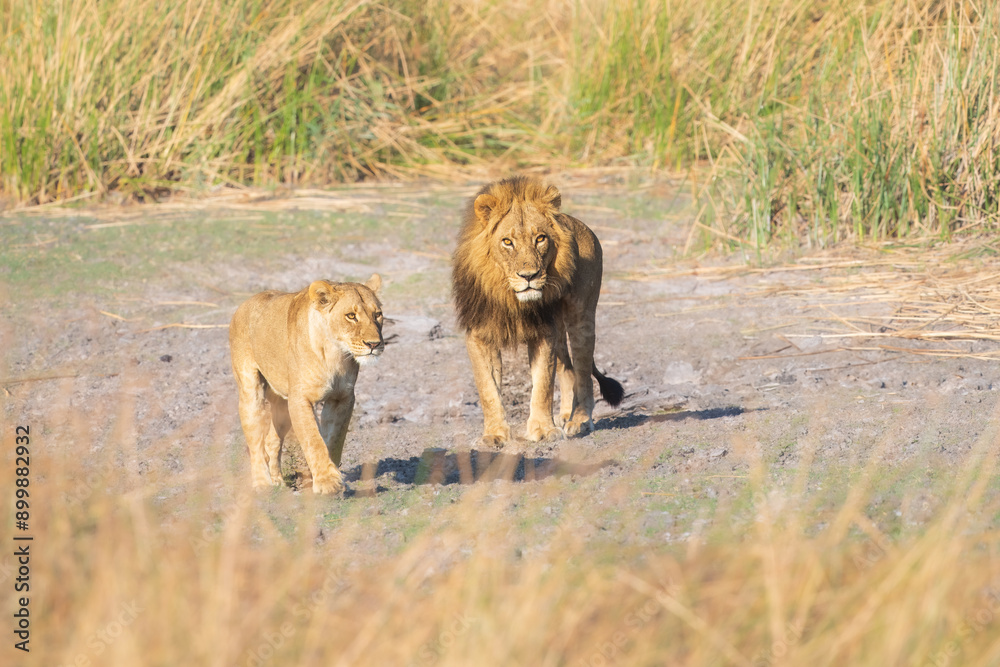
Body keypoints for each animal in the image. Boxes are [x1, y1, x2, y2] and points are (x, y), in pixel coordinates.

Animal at [229, 275, 384, 494]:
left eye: (377, 314)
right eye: (351, 316)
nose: (374, 344)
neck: (335, 353)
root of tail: (245, 303)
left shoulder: (343, 398)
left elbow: (334, 439)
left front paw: (326, 478)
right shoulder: (300, 399)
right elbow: (313, 439)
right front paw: (327, 482)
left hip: (282, 406)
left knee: (271, 440)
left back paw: (278, 481)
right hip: (250, 391)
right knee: (255, 441)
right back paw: (262, 483)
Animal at [452, 176, 624, 446]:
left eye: (540, 238)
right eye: (507, 242)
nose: (529, 276)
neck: (510, 298)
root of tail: (576, 222)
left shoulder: (545, 331)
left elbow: (543, 384)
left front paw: (543, 429)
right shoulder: (479, 333)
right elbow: (487, 389)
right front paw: (494, 434)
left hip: (581, 317)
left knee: (583, 372)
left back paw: (579, 420)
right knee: (568, 369)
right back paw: (565, 414)